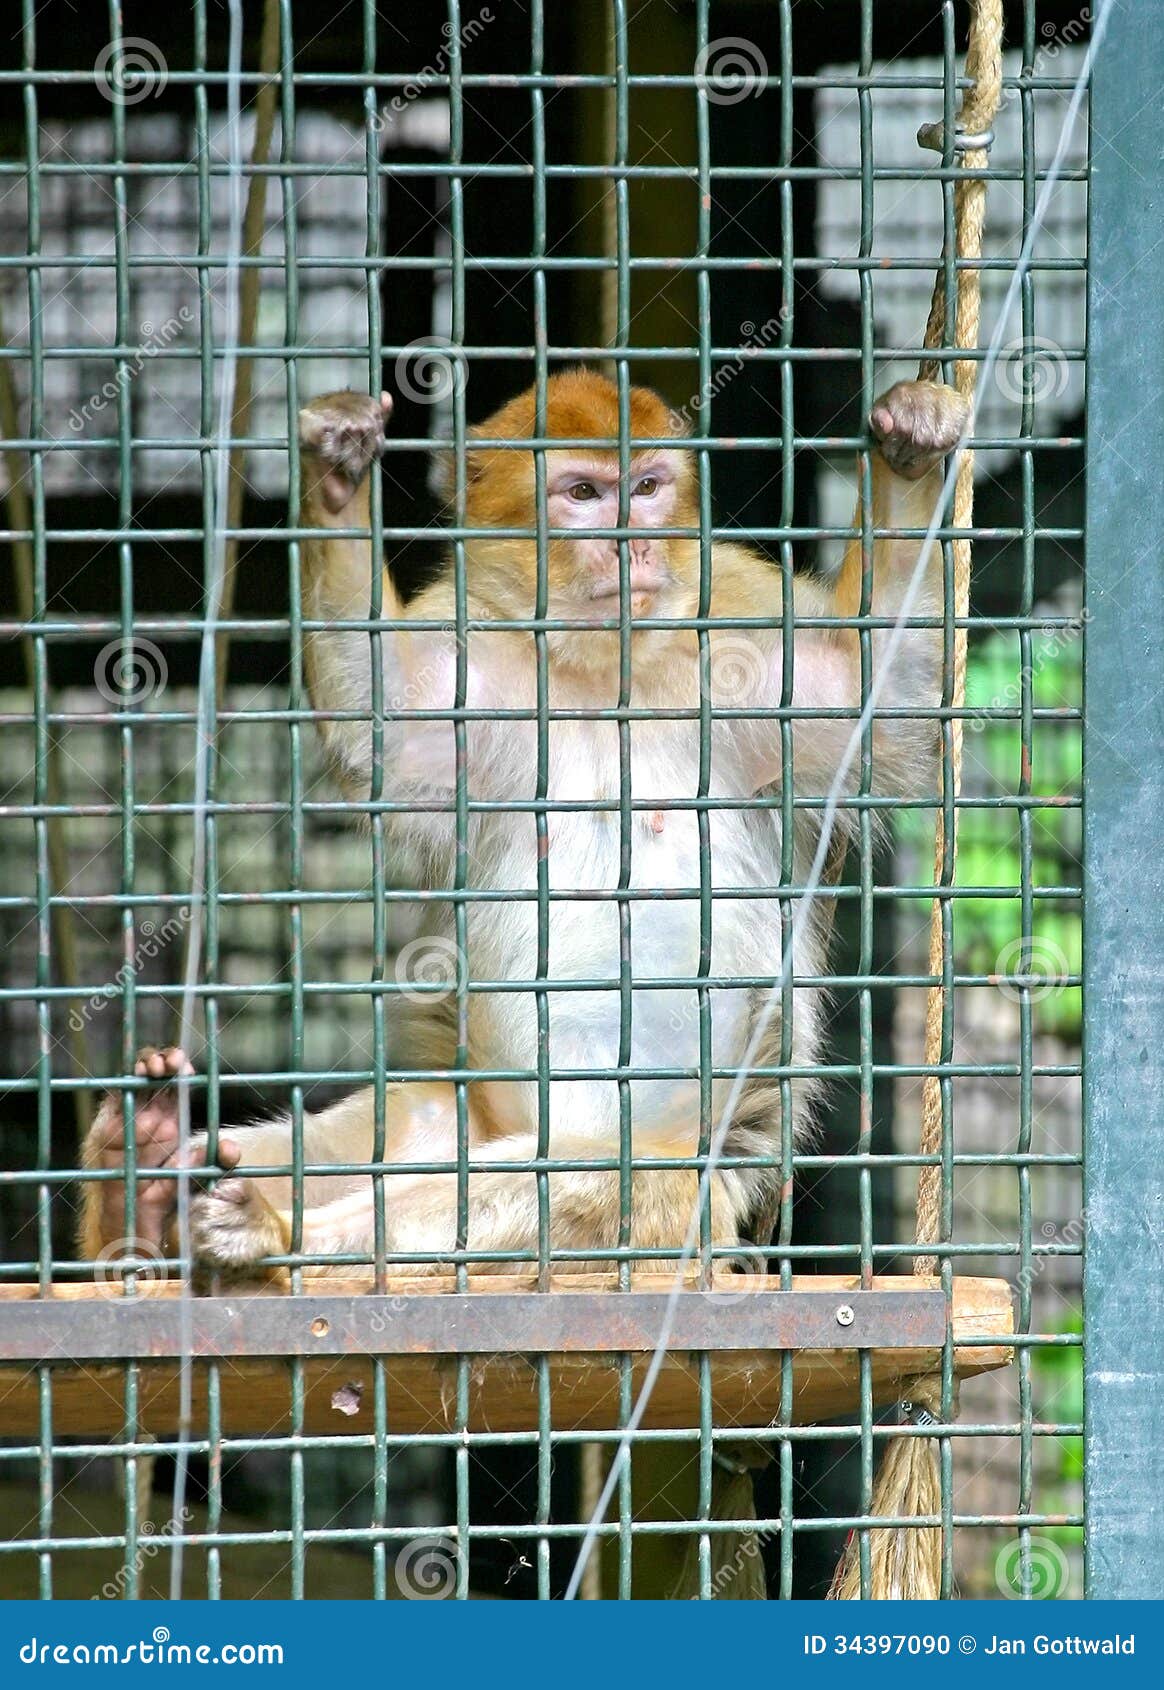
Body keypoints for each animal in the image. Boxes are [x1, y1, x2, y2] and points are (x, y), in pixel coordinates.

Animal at [79, 368, 968, 1278]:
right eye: (581, 495)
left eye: (646, 489)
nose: (633, 545)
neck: (603, 670)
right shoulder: (468, 663)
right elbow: (381, 722)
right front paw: (337, 476)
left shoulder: (749, 633)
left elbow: (884, 693)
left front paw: (914, 447)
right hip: (464, 1115)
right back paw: (141, 1186)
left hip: (682, 1191)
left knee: (592, 1181)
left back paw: (274, 1232)